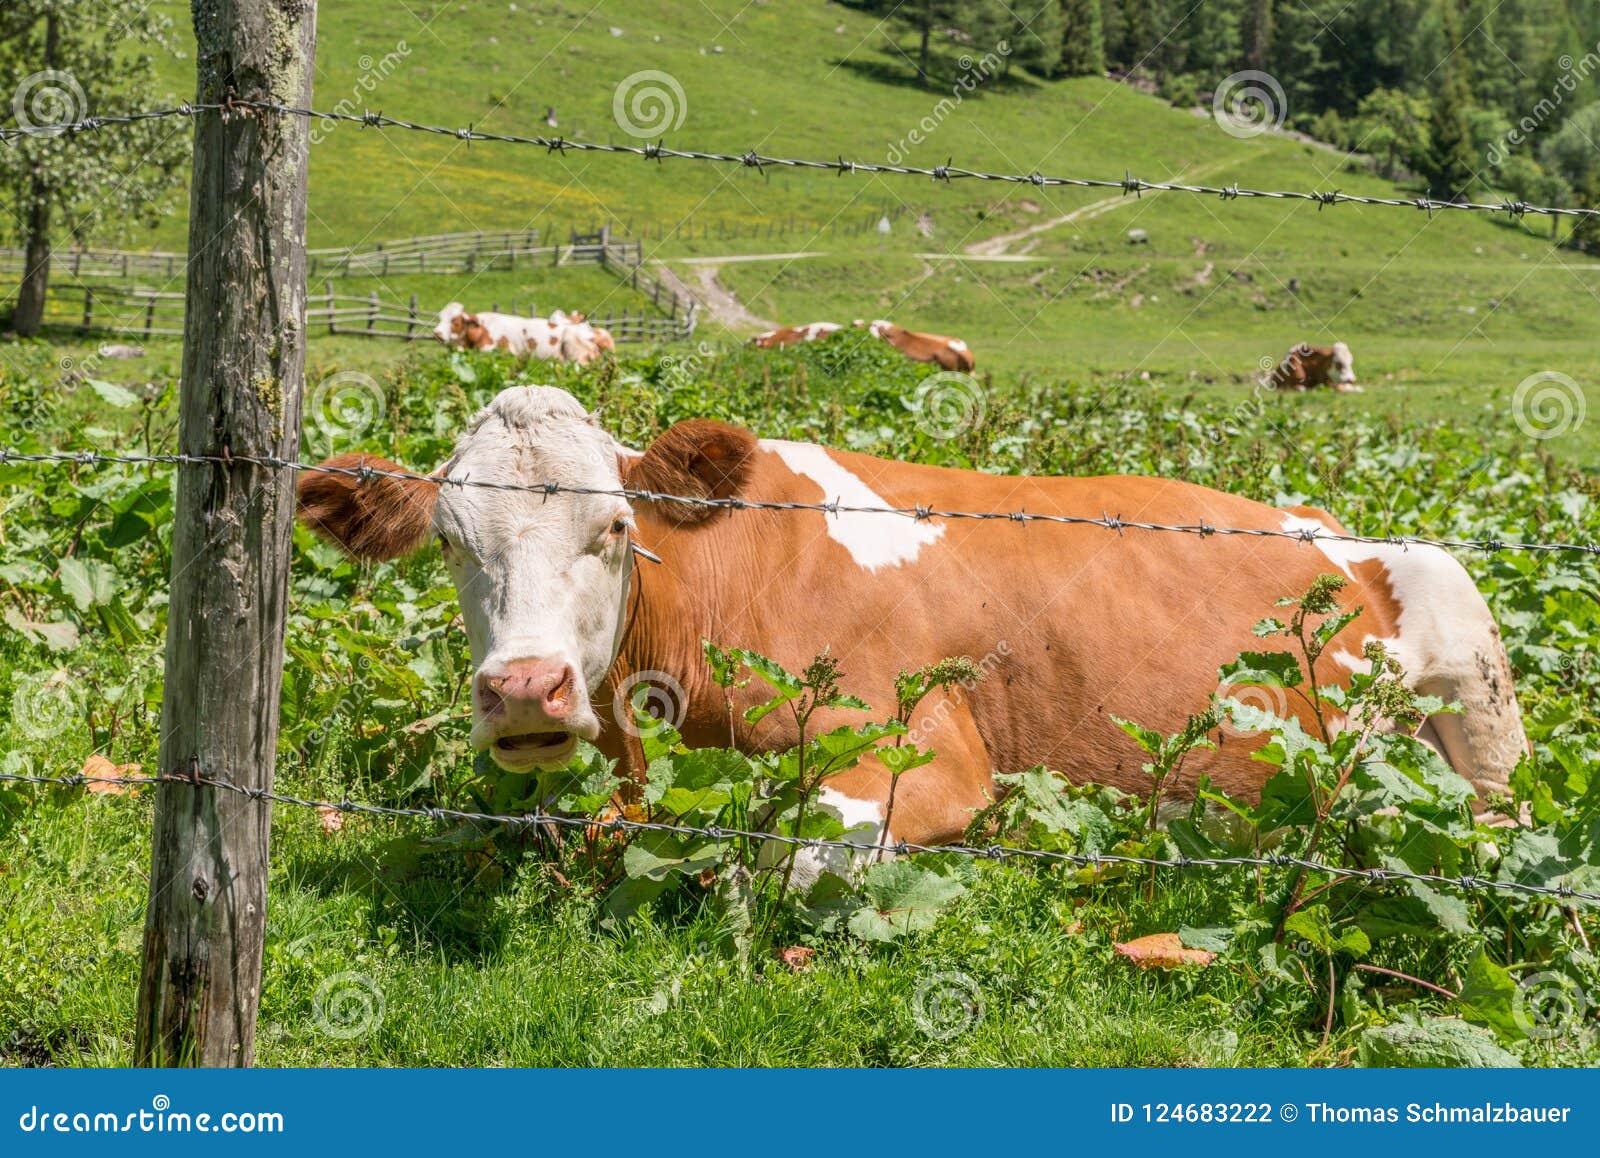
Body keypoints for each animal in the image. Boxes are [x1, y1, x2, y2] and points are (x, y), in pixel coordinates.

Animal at [297, 386, 1526, 852]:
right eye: (451, 543)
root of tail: (1317, 519)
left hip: (1469, 659)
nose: (524, 690)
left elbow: (799, 857)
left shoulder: (917, 750)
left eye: (610, 527)